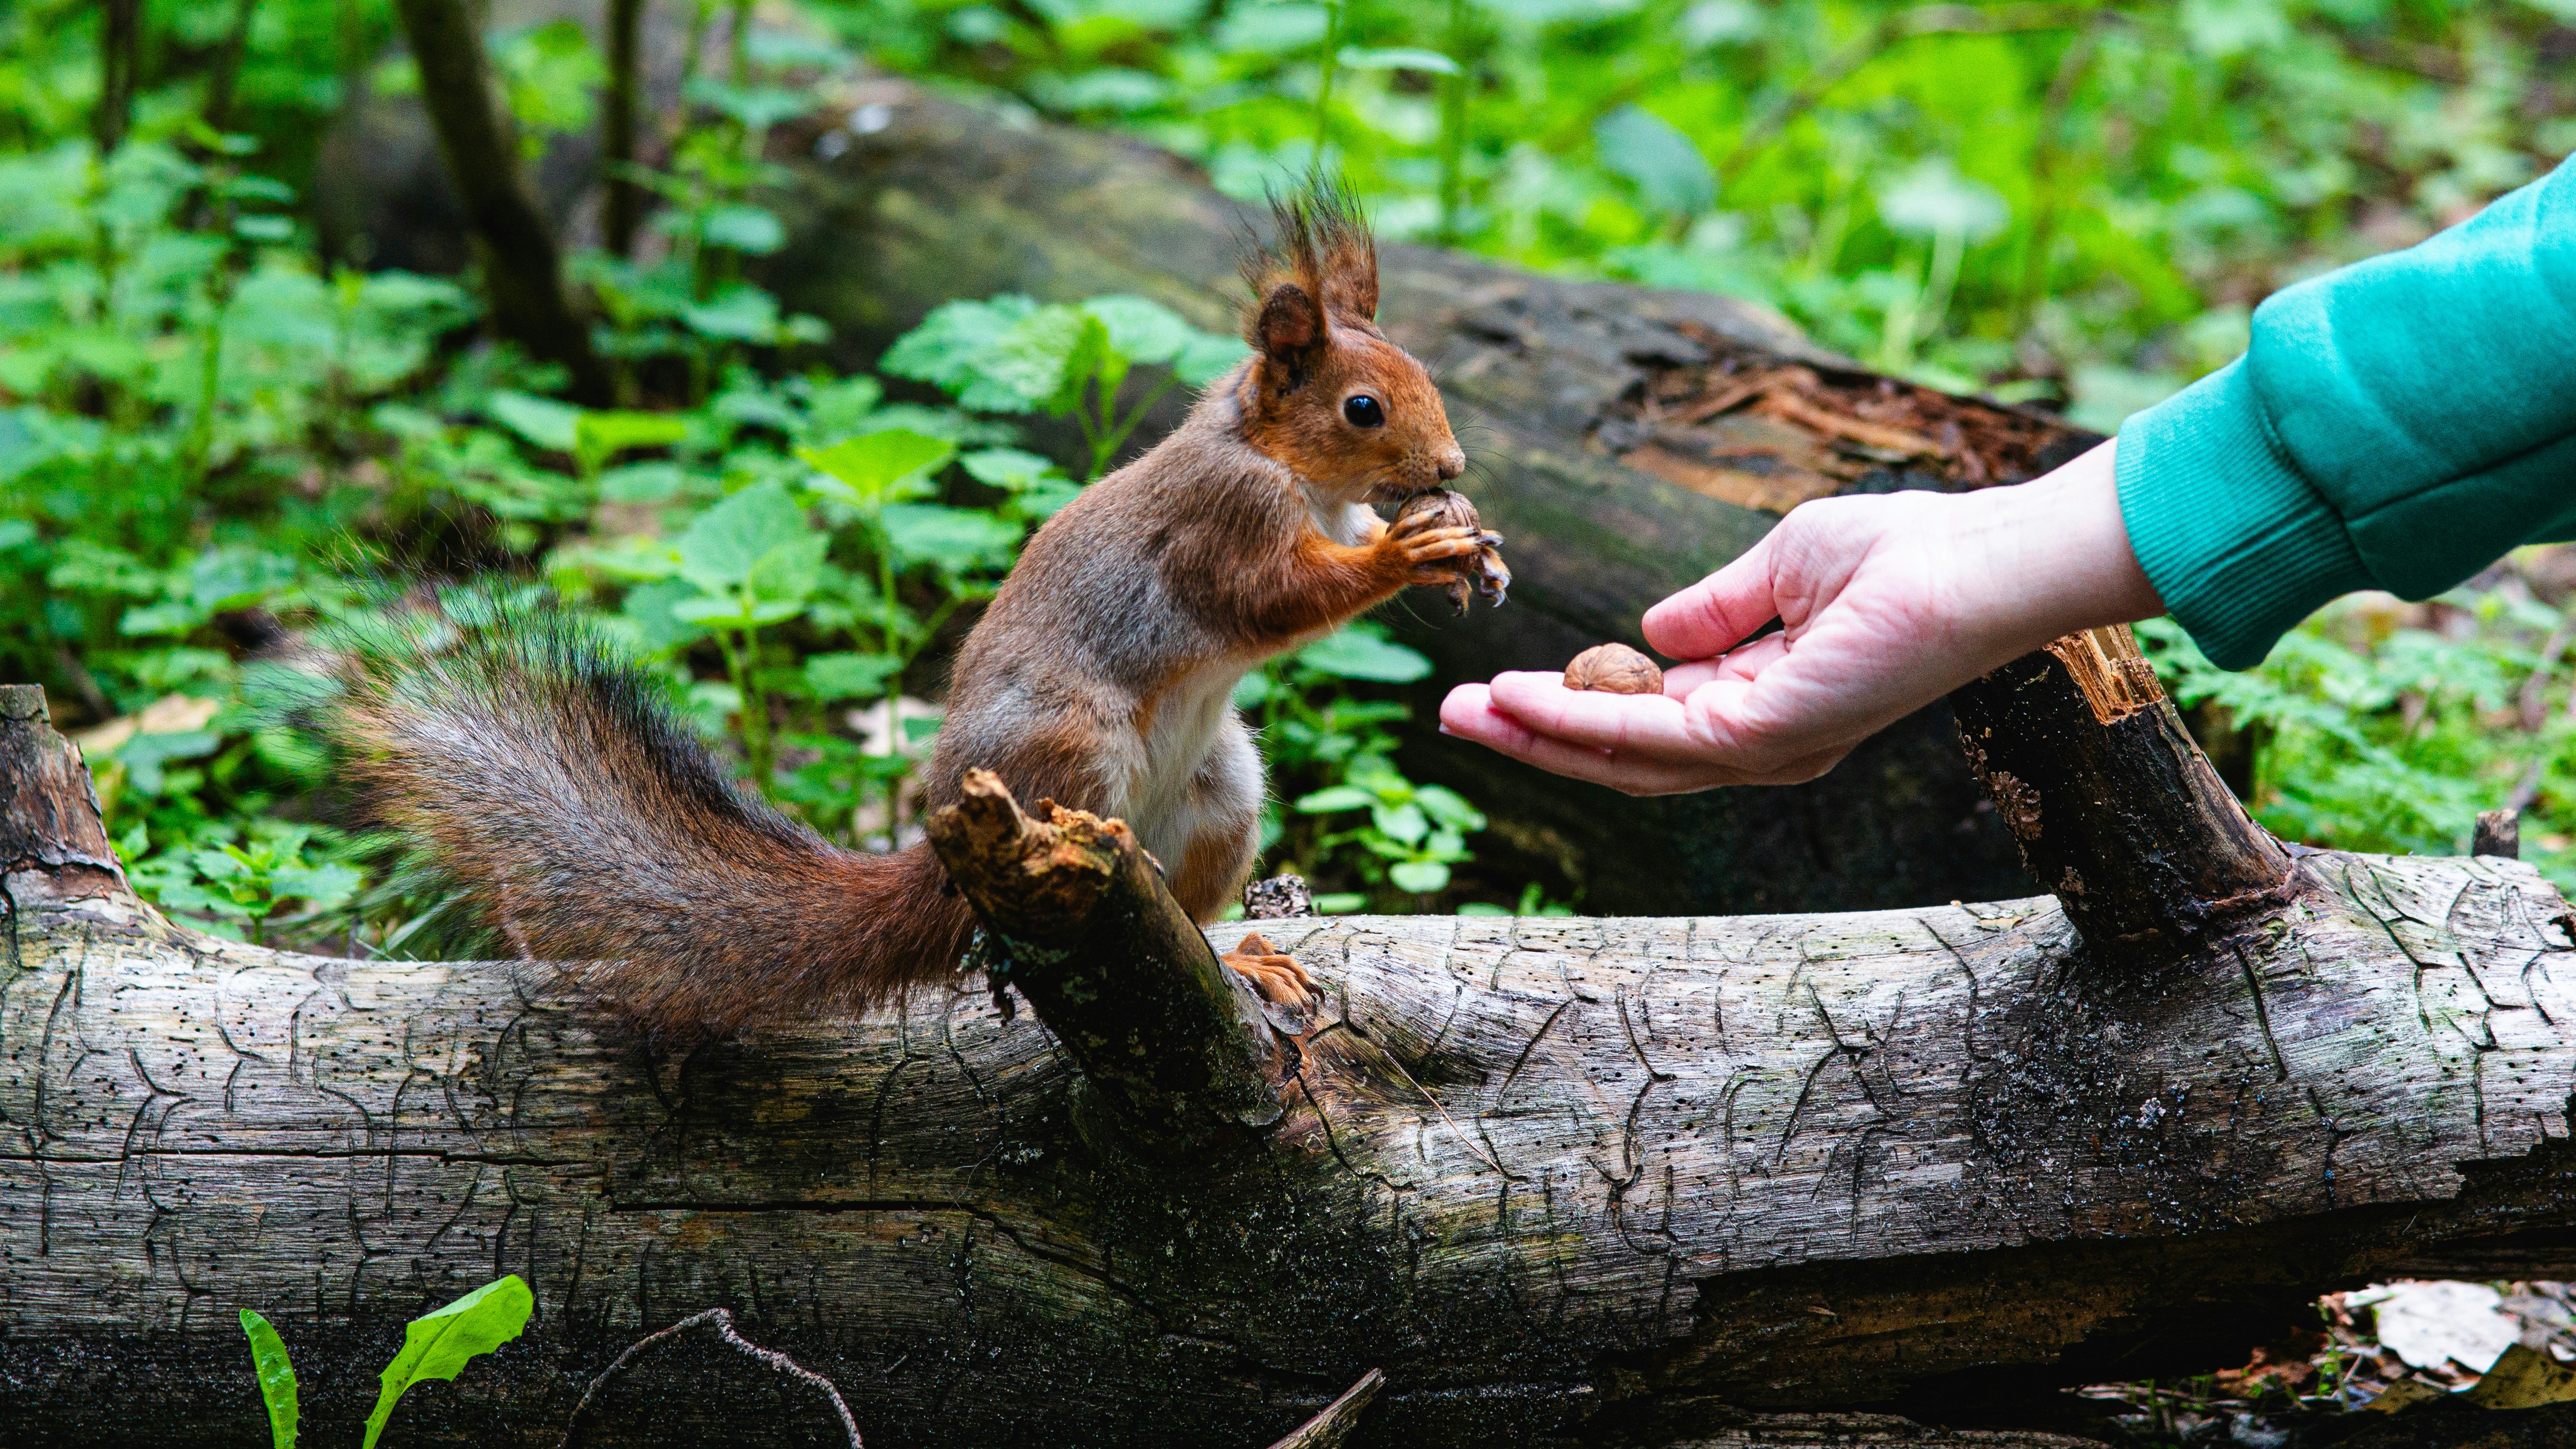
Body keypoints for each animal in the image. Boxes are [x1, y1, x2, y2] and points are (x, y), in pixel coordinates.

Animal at [333, 184, 1496, 1037]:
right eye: (1362, 408)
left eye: (1423, 375)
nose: (1450, 467)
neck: (1280, 463)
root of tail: (942, 857)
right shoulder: (1223, 523)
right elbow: (1277, 596)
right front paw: (1410, 548)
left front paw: (1464, 550)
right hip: (1072, 752)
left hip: (1222, 796)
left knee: (1190, 907)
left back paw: (1241, 959)